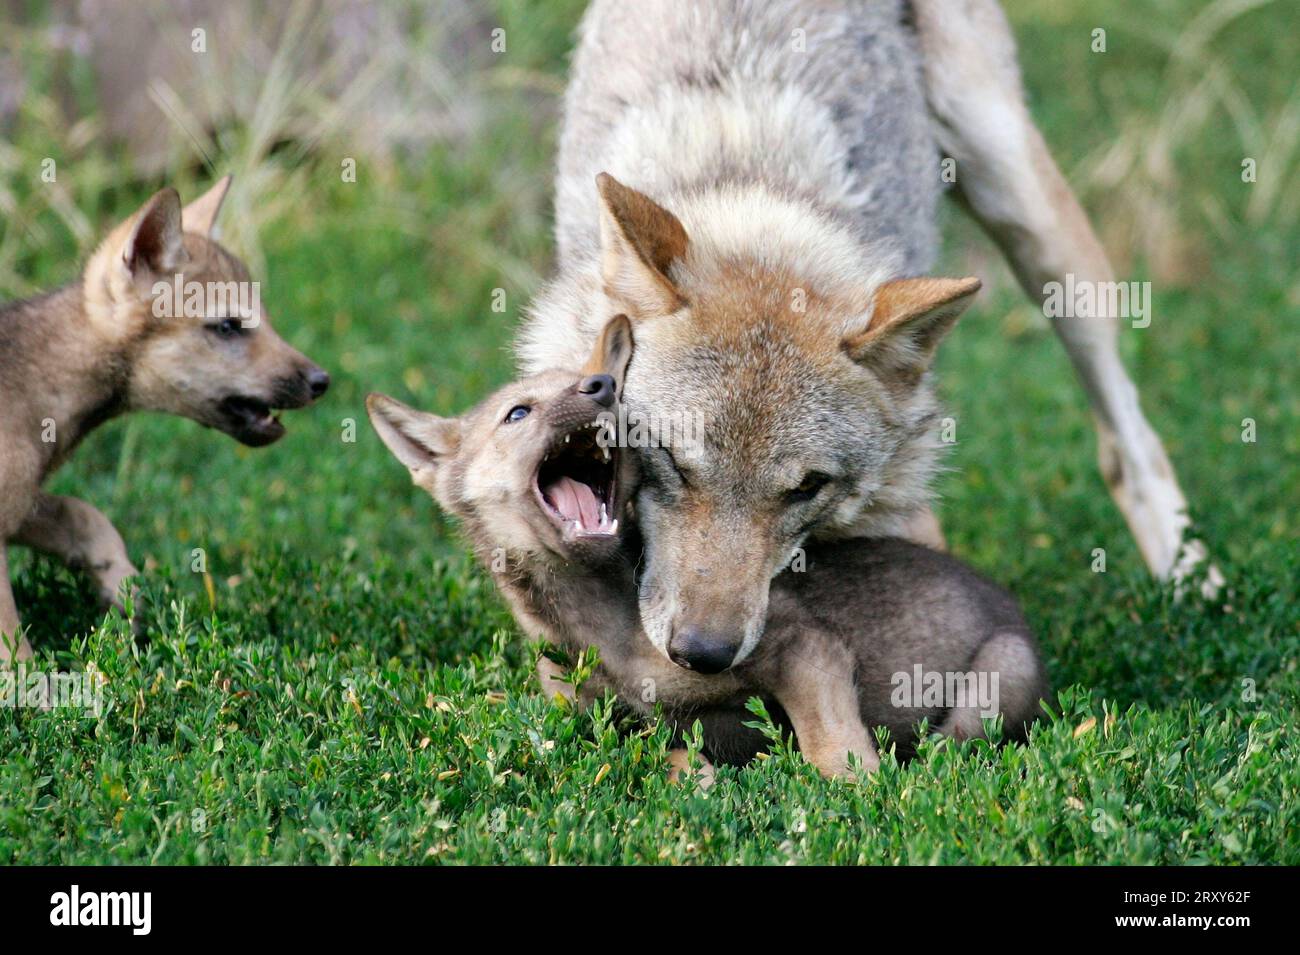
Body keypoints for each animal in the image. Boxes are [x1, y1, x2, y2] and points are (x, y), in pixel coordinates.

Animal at [0, 176, 329, 663]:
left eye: (267, 319)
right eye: (227, 326)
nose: (322, 380)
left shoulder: (21, 501)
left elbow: (85, 515)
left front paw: (123, 594)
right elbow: (12, 642)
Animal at [368, 316, 1047, 778]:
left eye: (603, 384)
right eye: (517, 413)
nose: (602, 385)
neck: (602, 622)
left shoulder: (805, 648)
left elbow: (834, 749)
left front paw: (857, 801)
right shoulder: (594, 723)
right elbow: (662, 751)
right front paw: (695, 778)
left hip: (995, 681)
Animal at [516, 0, 1211, 675]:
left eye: (807, 488)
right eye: (671, 459)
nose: (704, 655)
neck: (755, 188)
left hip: (1029, 214)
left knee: (1129, 441)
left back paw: (1199, 597)